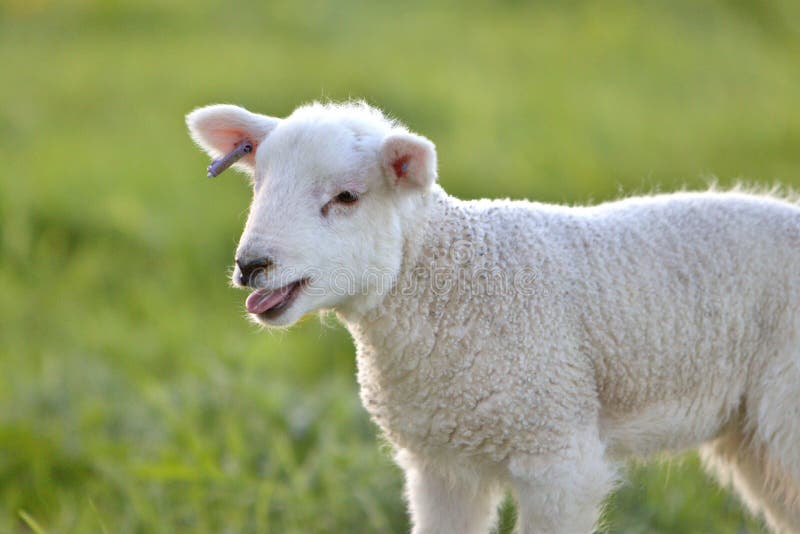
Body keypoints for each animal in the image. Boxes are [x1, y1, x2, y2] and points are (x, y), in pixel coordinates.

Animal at [186, 100, 800, 534]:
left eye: (346, 197)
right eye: (258, 183)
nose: (251, 265)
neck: (456, 285)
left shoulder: (558, 451)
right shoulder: (441, 464)